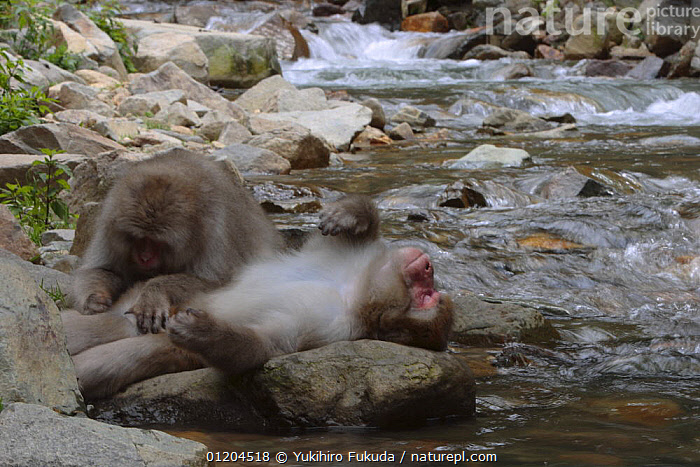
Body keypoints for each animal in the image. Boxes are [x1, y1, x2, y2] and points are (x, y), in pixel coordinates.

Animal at [65, 195, 453, 400]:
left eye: (427, 295)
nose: (429, 266)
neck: (351, 288)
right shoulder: (339, 258)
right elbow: (332, 238)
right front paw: (350, 215)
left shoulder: (330, 327)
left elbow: (263, 345)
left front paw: (202, 331)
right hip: (128, 306)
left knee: (110, 359)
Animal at [70, 150, 283, 334]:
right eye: (138, 238)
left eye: (157, 241)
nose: (145, 257)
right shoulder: (110, 219)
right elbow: (103, 270)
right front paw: (94, 299)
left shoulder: (214, 229)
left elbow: (216, 283)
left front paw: (153, 294)